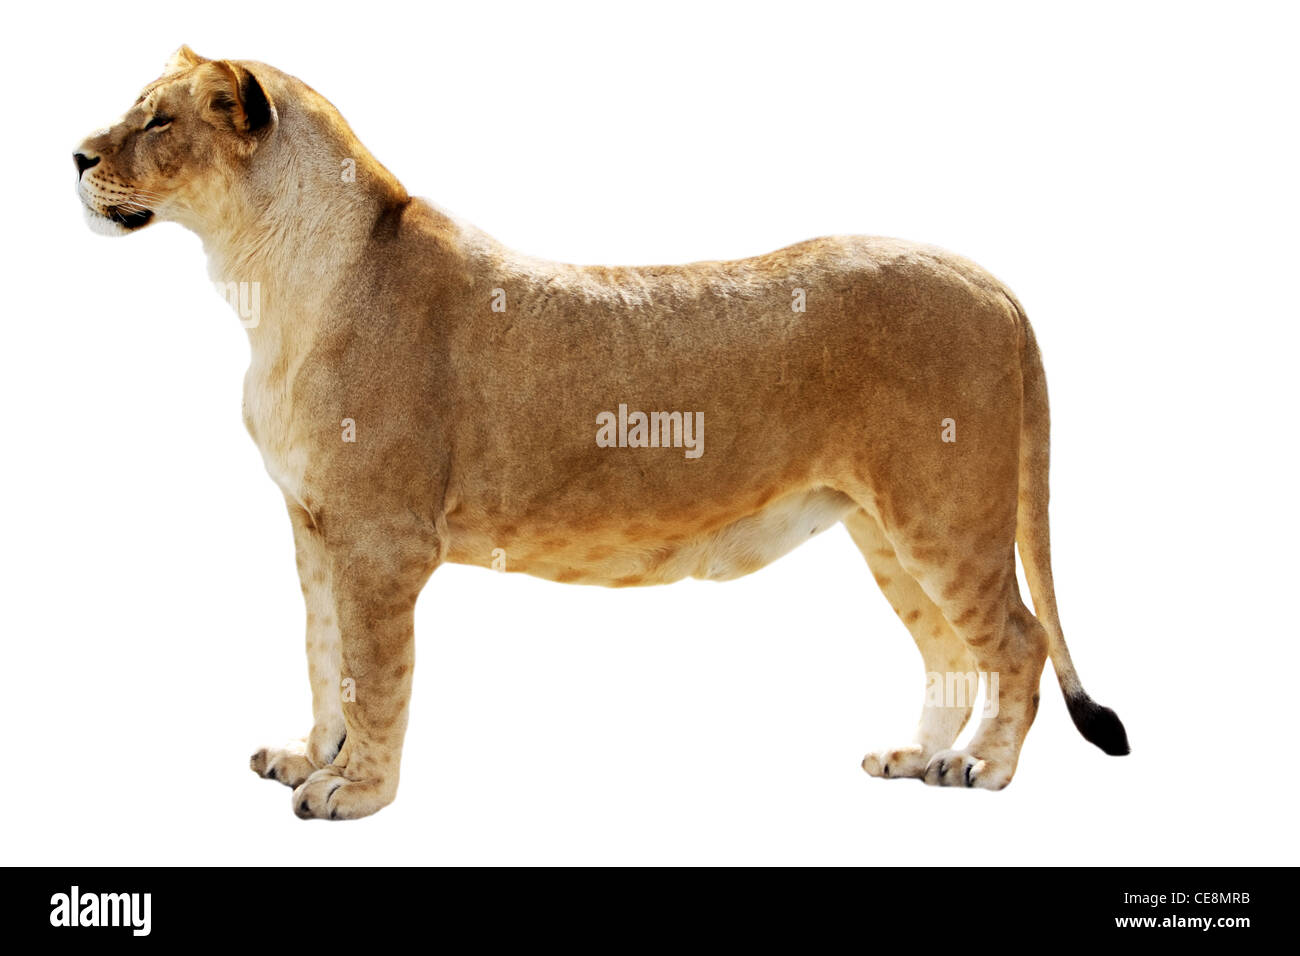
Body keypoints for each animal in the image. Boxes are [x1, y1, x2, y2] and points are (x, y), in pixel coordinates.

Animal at [73, 47, 1128, 819]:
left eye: (158, 119)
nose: (76, 157)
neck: (264, 282)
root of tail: (990, 279)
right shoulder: (312, 523)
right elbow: (321, 649)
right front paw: (308, 755)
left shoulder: (382, 537)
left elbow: (376, 671)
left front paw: (355, 792)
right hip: (882, 523)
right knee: (948, 648)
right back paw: (916, 756)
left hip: (945, 511)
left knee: (1018, 640)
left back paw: (983, 771)